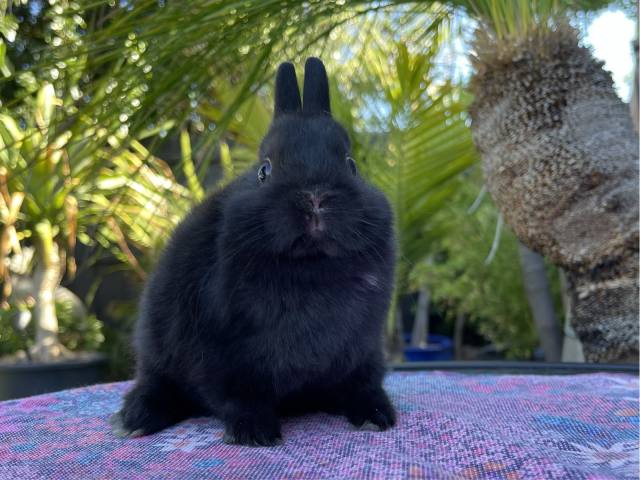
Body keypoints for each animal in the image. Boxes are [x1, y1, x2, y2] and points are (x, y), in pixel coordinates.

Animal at [110, 57, 397, 446]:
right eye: (265, 170)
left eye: (351, 165)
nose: (315, 197)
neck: (311, 267)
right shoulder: (226, 357)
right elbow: (240, 398)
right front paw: (254, 432)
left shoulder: (364, 349)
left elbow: (363, 385)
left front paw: (376, 416)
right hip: (156, 345)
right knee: (155, 383)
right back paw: (135, 419)